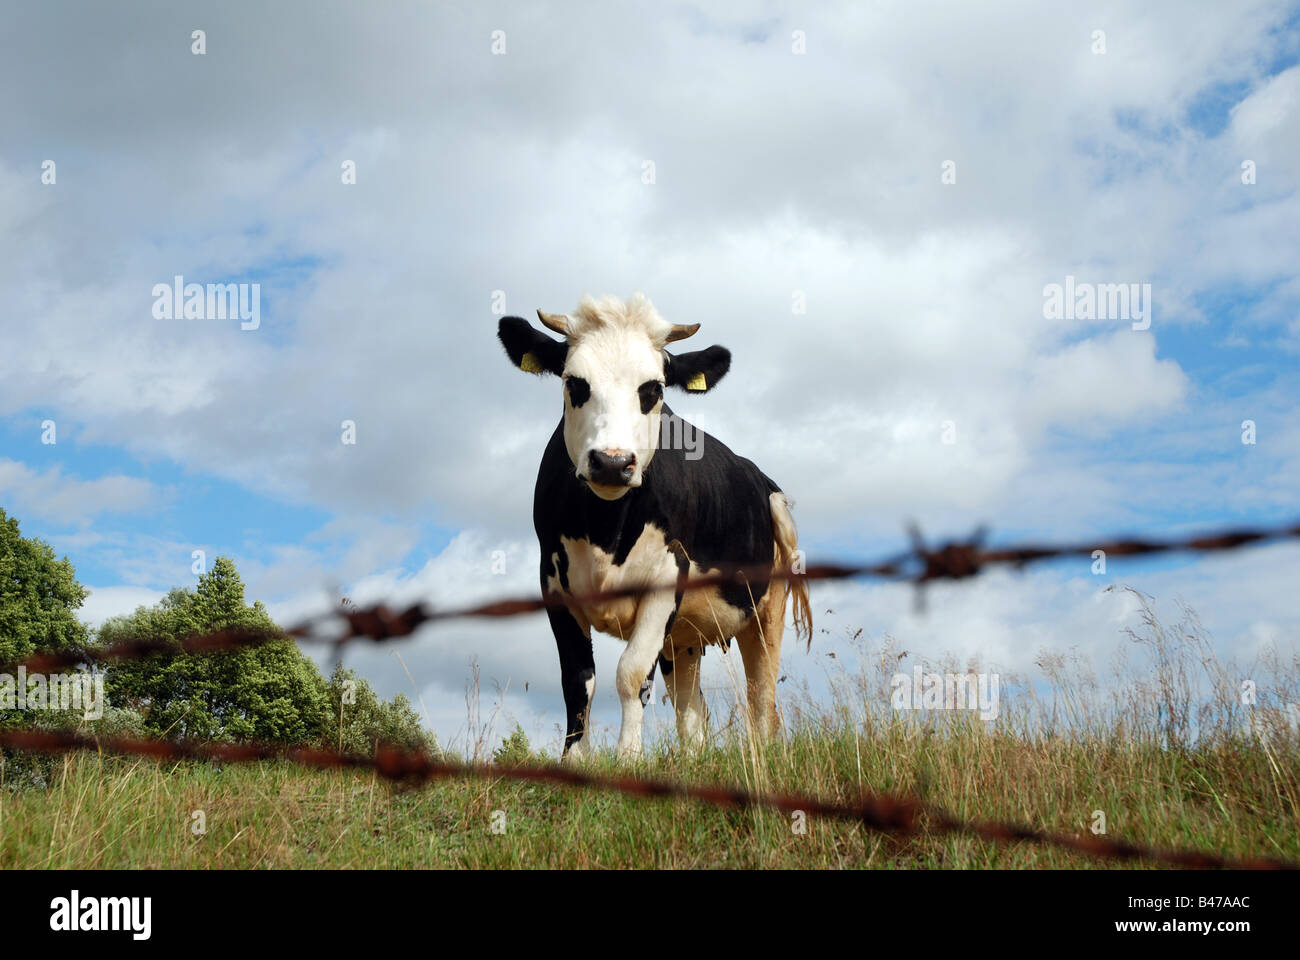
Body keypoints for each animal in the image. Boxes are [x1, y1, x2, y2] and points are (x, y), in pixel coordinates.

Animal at [497, 294, 811, 758]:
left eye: (654, 389)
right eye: (574, 383)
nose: (612, 462)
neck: (605, 532)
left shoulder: (667, 575)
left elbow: (630, 674)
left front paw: (628, 759)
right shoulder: (552, 582)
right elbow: (577, 682)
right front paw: (574, 760)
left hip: (765, 609)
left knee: (761, 695)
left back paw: (762, 754)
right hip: (685, 635)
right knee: (691, 705)